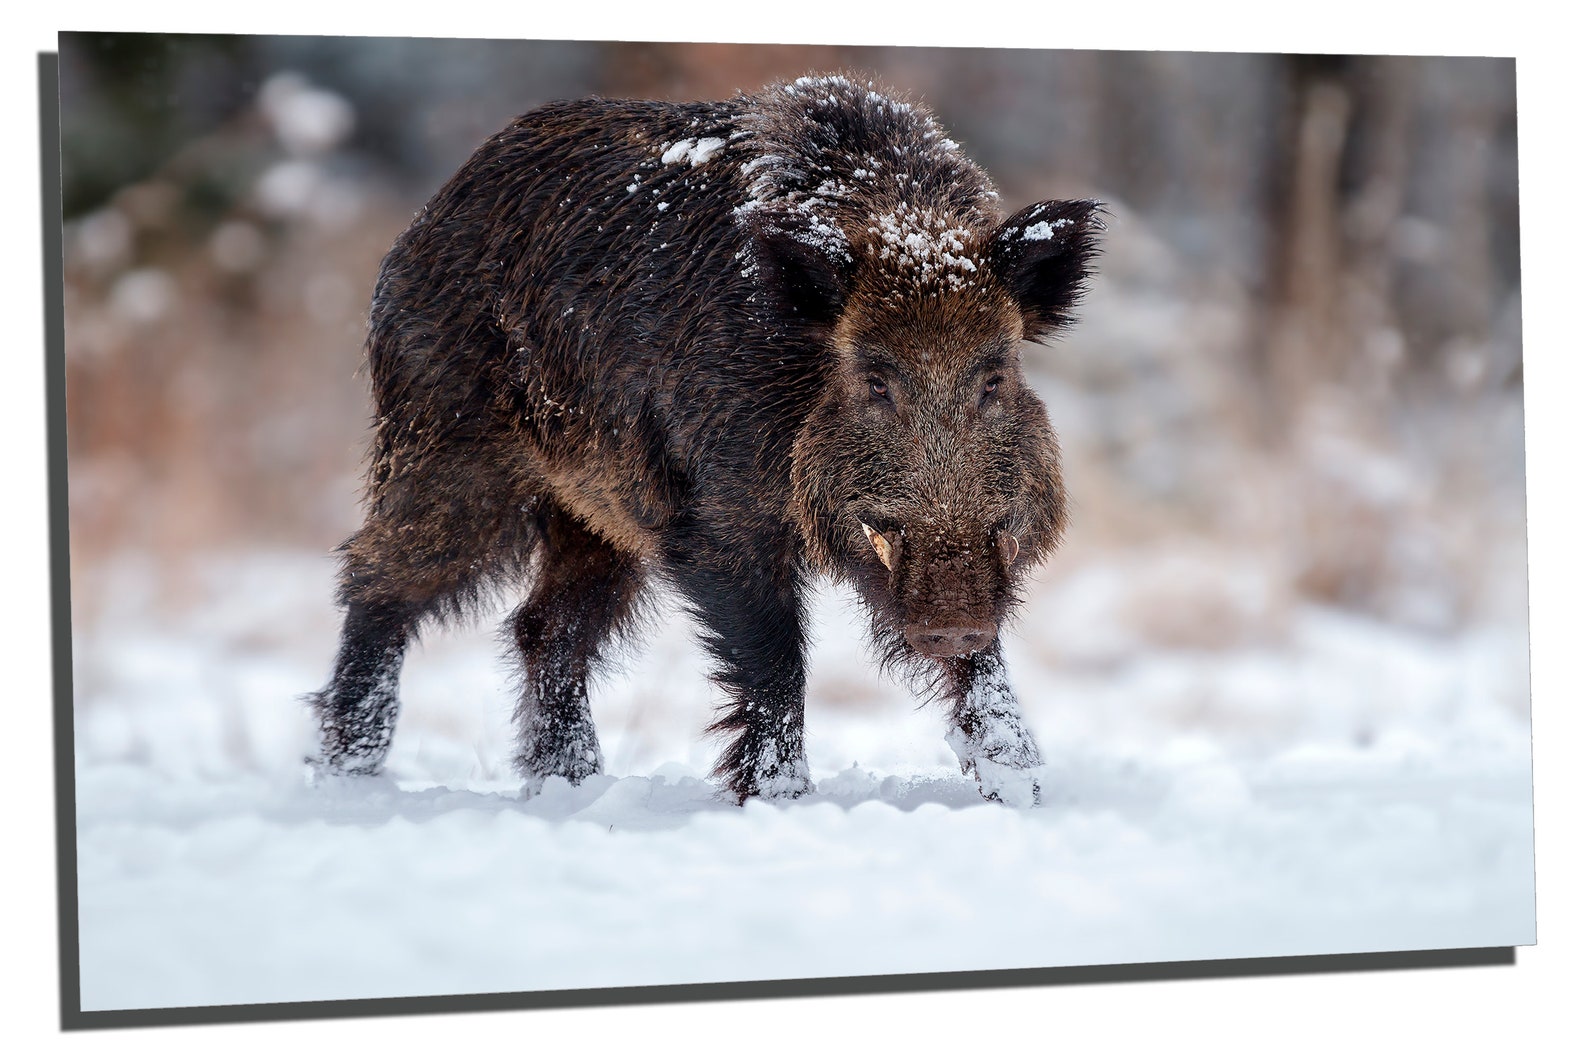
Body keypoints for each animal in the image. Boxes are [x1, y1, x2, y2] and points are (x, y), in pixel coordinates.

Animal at [308, 73, 1101, 806]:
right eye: (876, 380)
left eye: (994, 375)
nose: (953, 618)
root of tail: (427, 218)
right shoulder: (719, 518)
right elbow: (777, 659)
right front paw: (775, 799)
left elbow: (984, 667)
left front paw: (1021, 789)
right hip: (447, 451)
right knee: (378, 578)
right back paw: (348, 774)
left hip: (596, 513)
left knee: (545, 626)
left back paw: (571, 785)